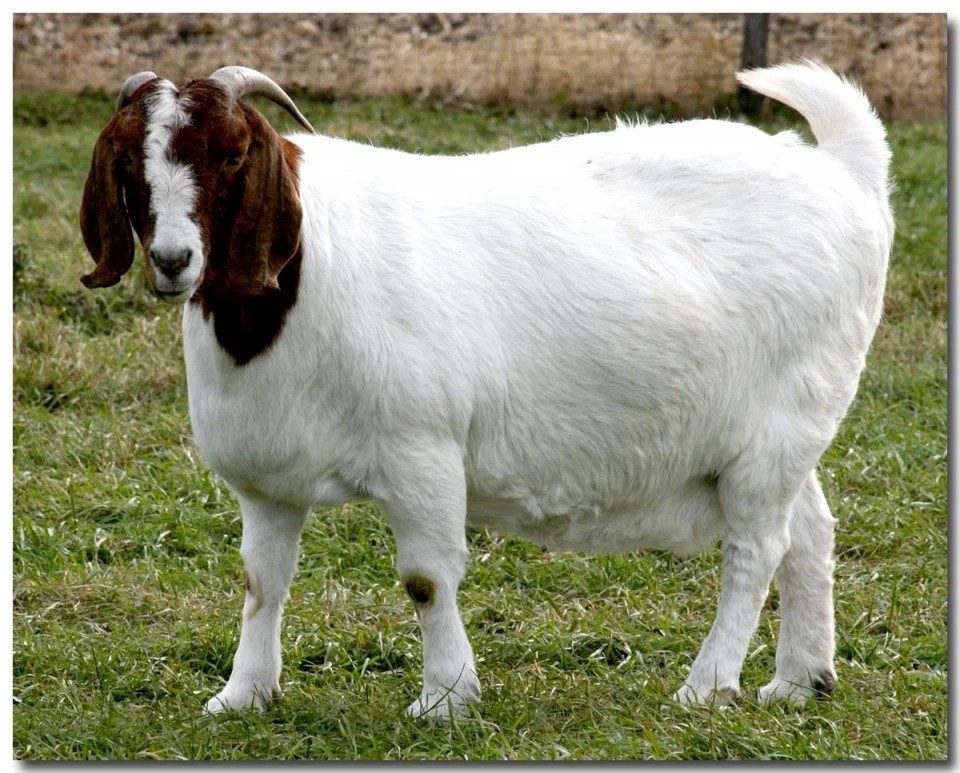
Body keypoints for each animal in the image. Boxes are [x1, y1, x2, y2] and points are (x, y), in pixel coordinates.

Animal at [79, 62, 893, 717]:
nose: (173, 260)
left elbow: (426, 580)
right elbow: (262, 582)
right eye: (129, 159)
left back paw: (706, 686)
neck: (299, 283)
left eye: (233, 153)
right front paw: (243, 694)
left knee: (758, 549)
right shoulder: (267, 478)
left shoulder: (422, 452)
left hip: (782, 424)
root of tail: (844, 170)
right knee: (811, 530)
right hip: (779, 437)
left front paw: (444, 698)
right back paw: (800, 680)